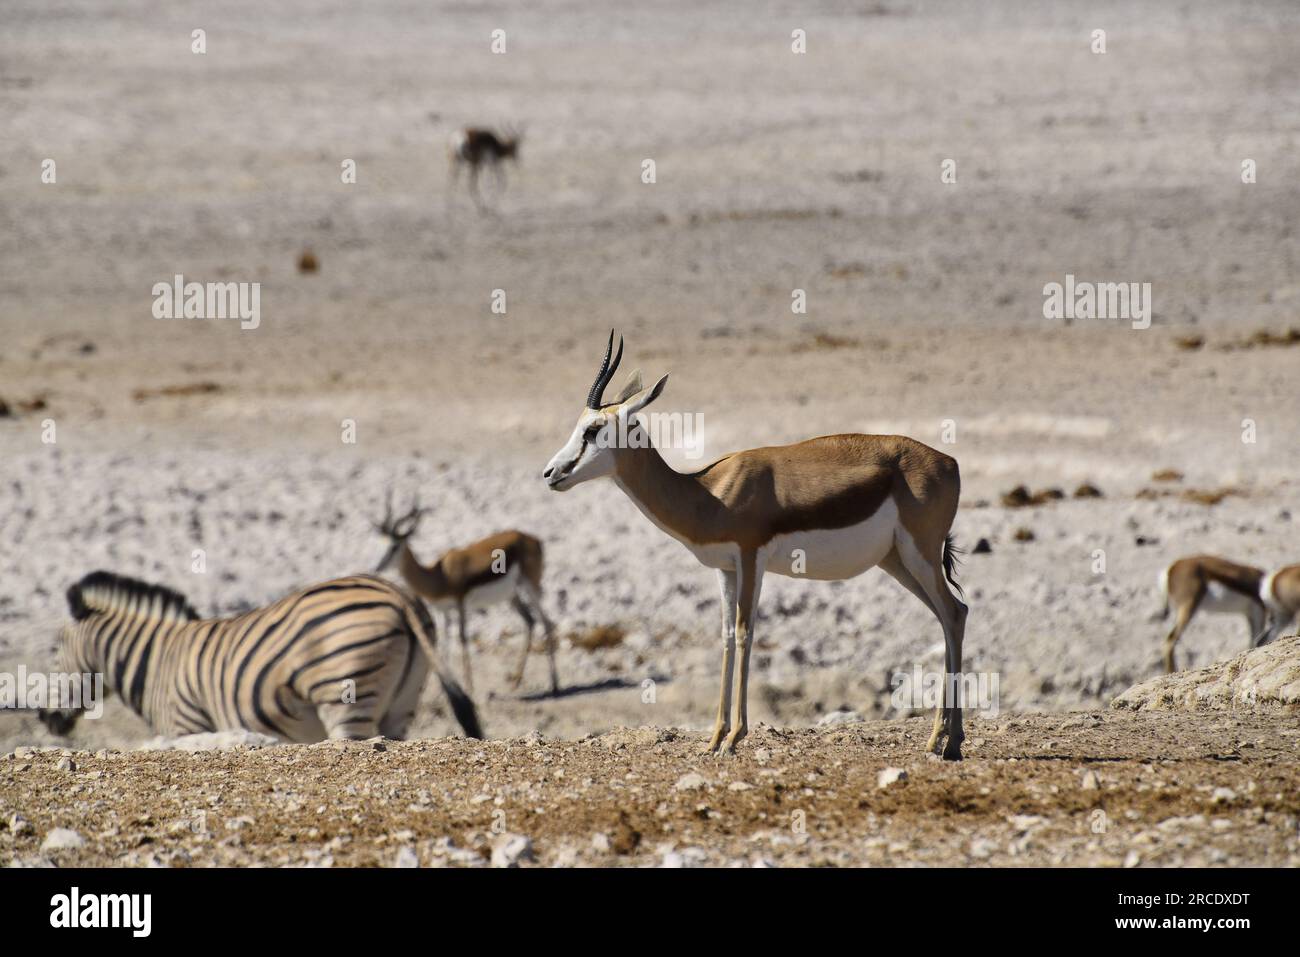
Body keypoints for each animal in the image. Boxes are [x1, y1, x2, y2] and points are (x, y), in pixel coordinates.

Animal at [373, 494, 558, 695]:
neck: (439, 575)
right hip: (511, 596)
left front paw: (469, 687)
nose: (377, 567)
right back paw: (516, 682)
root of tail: (534, 540)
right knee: (530, 621)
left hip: (531, 587)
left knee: (546, 622)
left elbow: (462, 638)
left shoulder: (460, 603)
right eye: (383, 545)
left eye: (394, 546)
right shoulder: (444, 611)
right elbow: (445, 644)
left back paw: (555, 685)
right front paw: (443, 691)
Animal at [543, 332, 969, 759]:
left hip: (919, 554)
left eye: (594, 429)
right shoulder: (725, 568)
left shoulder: (751, 558)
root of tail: (949, 462)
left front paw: (734, 738)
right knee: (950, 614)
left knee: (953, 612)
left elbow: (747, 632)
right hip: (897, 561)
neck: (708, 492)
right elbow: (727, 636)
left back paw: (946, 740)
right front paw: (714, 738)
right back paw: (947, 739)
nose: (550, 473)